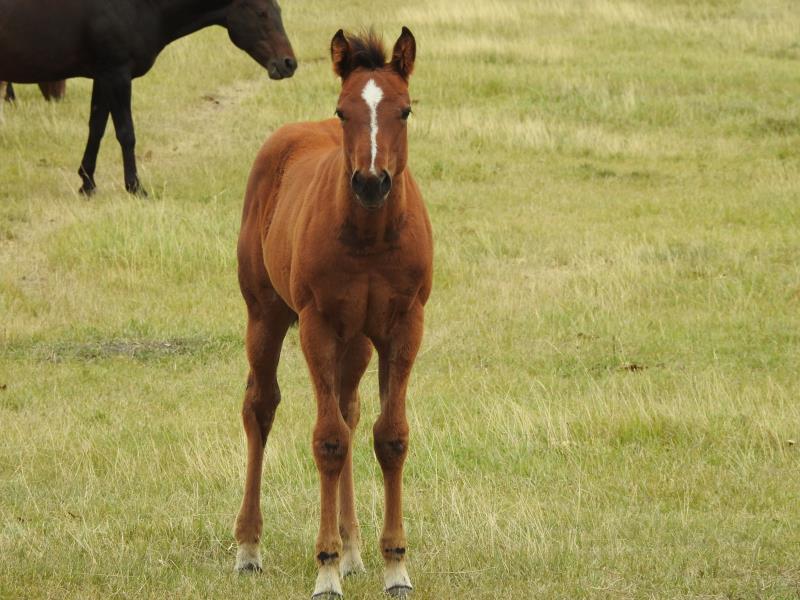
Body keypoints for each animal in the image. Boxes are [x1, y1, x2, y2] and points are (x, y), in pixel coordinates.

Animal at [0, 0, 296, 195]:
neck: (137, 5)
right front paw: (134, 187)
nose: (288, 63)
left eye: (280, 10)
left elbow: (96, 128)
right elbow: (125, 133)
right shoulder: (117, 74)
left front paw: (87, 183)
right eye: (262, 13)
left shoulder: (103, 75)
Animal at [233, 27, 431, 599]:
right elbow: (328, 440)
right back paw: (249, 548)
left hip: (357, 342)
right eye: (343, 112)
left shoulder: (404, 326)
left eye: (405, 110)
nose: (371, 181)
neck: (370, 236)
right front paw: (324, 569)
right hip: (266, 315)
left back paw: (353, 549)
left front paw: (394, 566)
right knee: (260, 406)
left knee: (349, 407)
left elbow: (389, 436)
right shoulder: (317, 327)